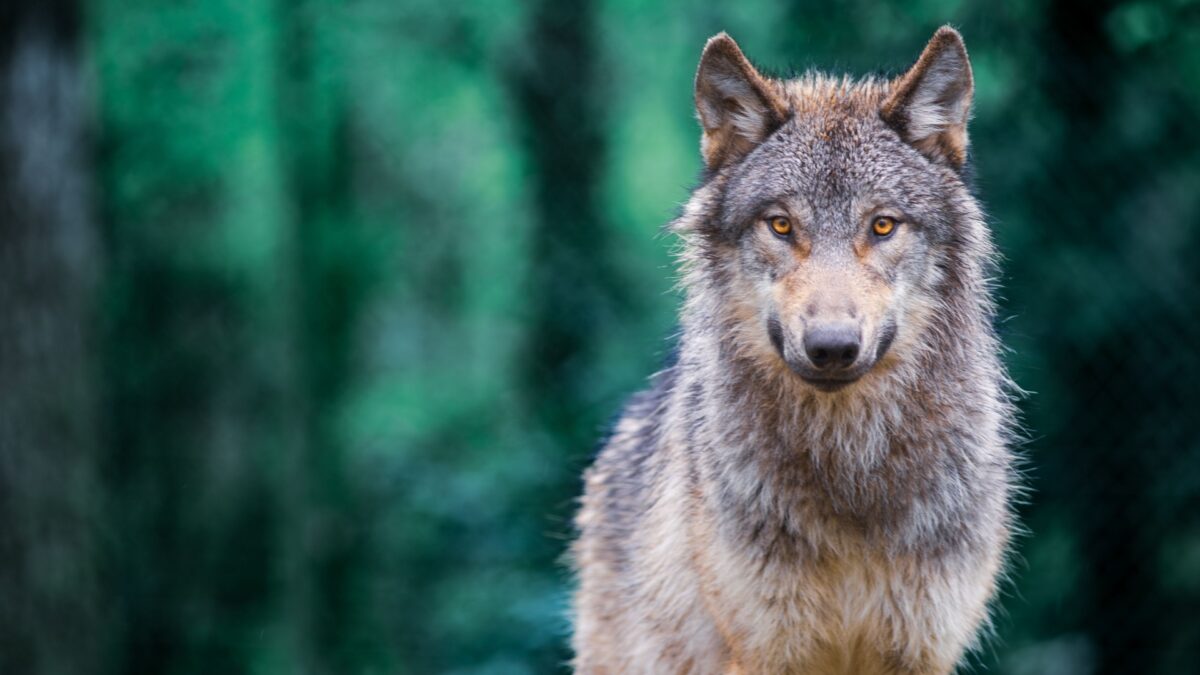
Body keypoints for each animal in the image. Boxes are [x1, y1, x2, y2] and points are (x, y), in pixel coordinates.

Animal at [570, 27, 1018, 675]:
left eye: (883, 226)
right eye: (780, 226)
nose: (831, 347)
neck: (849, 470)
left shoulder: (921, 649)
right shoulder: (764, 650)